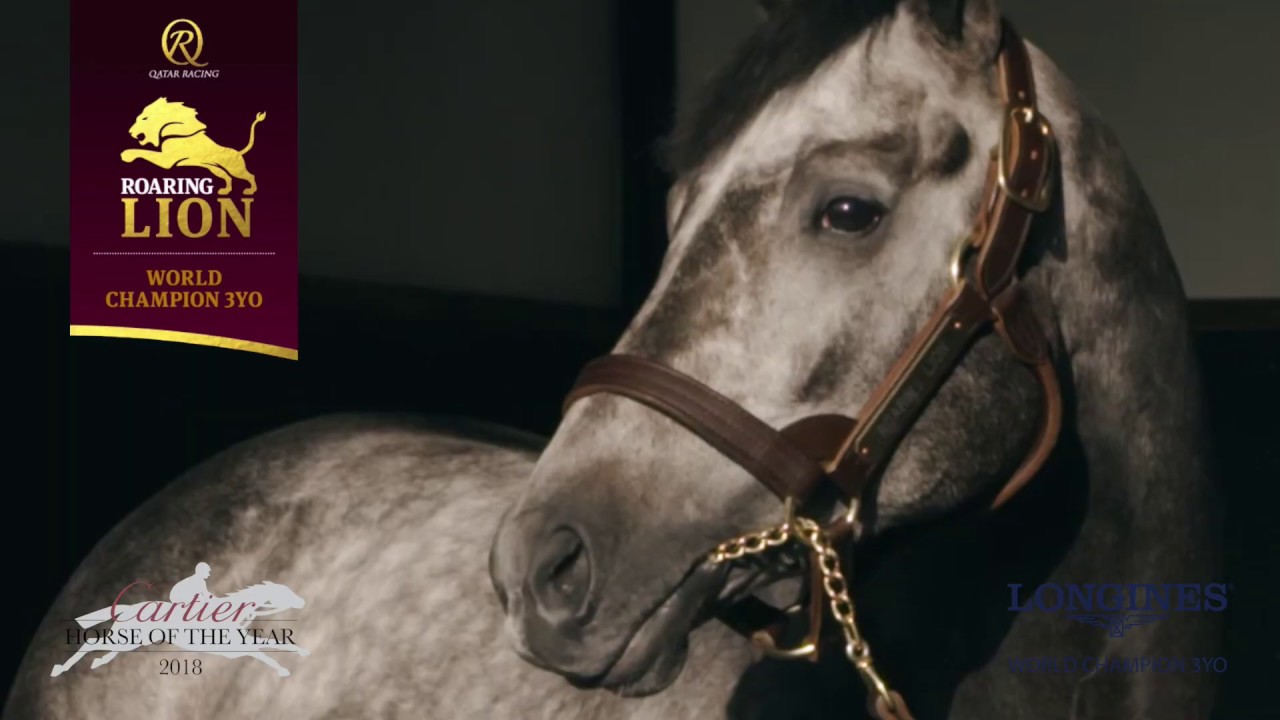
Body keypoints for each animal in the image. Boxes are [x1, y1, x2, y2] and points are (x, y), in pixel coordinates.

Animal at [120, 97, 266, 196]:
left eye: (144, 118)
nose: (130, 132)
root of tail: (238, 152)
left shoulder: (166, 160)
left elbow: (143, 151)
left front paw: (126, 155)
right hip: (214, 169)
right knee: (227, 178)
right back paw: (225, 191)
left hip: (235, 169)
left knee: (250, 176)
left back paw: (250, 191)